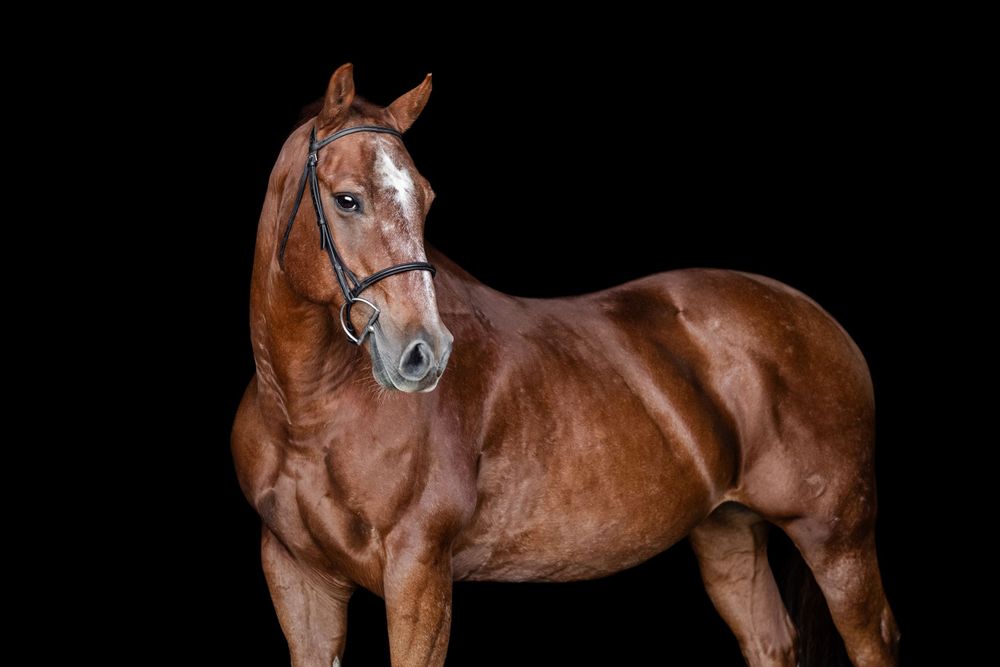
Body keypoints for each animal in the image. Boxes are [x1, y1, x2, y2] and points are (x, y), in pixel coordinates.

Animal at [232, 64, 900, 667]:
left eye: (426, 198)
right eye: (347, 200)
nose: (425, 352)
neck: (308, 416)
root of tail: (818, 321)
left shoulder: (418, 576)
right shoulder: (298, 581)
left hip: (836, 541)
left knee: (871, 639)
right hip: (729, 532)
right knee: (769, 640)